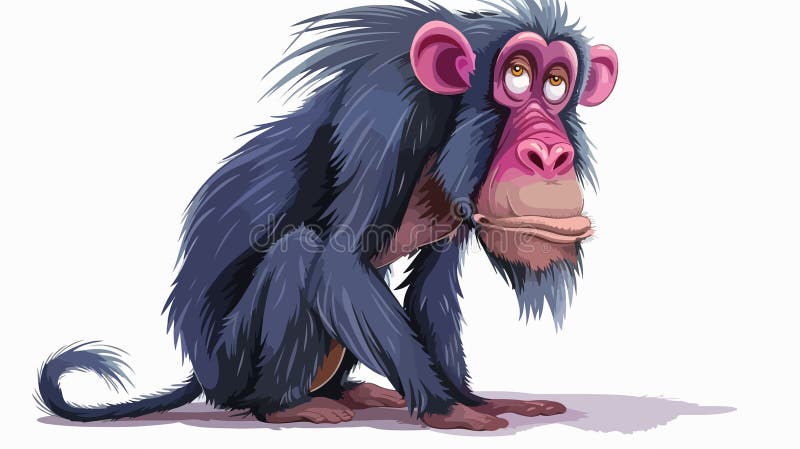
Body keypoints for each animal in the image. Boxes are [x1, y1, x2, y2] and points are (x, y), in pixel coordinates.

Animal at [36, 0, 617, 431]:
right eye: (516, 75)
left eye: (557, 83)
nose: (549, 153)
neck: (449, 112)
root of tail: (201, 375)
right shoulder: (384, 119)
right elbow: (341, 263)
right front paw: (449, 409)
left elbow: (430, 288)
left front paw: (476, 401)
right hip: (231, 367)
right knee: (300, 253)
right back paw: (288, 406)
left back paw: (356, 393)